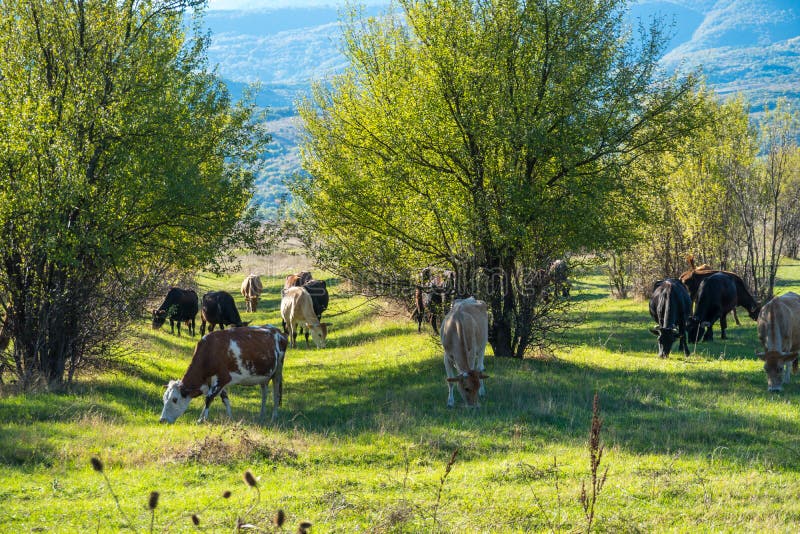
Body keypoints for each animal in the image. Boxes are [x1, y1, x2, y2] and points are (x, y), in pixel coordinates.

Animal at [159, 325, 287, 424]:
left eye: (174, 399)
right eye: (164, 398)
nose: (162, 420)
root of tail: (277, 331)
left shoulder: (223, 378)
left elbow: (208, 398)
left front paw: (201, 420)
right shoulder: (216, 382)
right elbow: (225, 399)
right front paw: (230, 418)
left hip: (278, 370)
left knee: (276, 394)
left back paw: (274, 417)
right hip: (264, 376)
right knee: (264, 393)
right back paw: (261, 415)